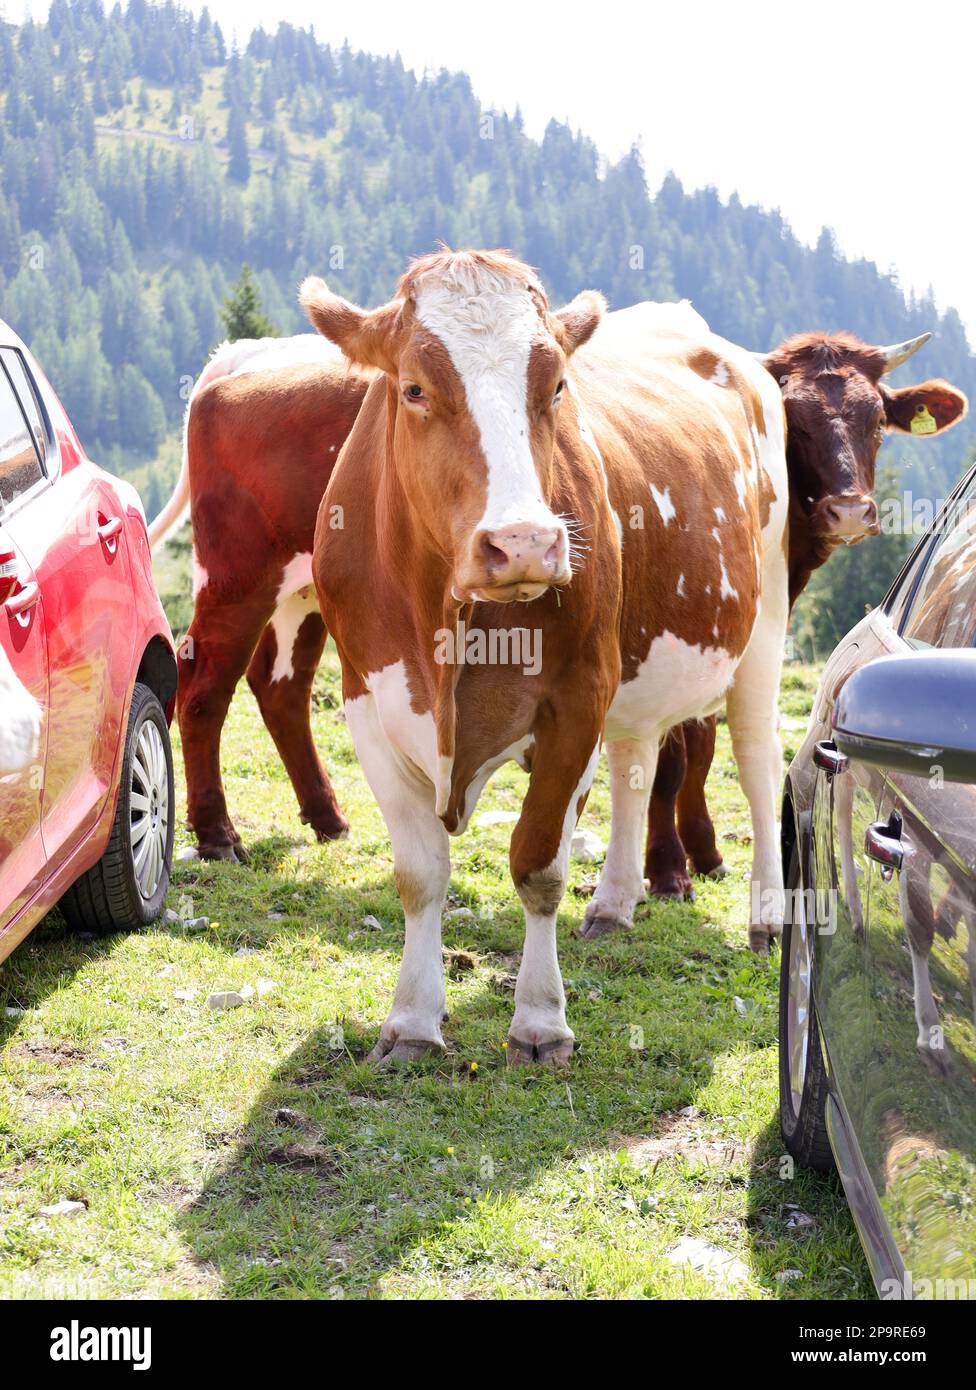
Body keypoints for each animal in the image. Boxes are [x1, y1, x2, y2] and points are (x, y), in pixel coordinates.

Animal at [299, 247, 791, 1065]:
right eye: (414, 388)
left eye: (556, 385)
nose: (525, 542)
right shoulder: (368, 699)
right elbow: (419, 873)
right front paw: (411, 1020)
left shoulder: (576, 696)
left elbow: (539, 862)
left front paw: (539, 1020)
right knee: (635, 763)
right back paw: (616, 904)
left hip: (766, 620)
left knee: (757, 763)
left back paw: (767, 917)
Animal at [645, 332, 968, 900]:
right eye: (792, 423)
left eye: (877, 419)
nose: (850, 512)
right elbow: (674, 753)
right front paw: (666, 869)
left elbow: (701, 742)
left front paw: (704, 851)